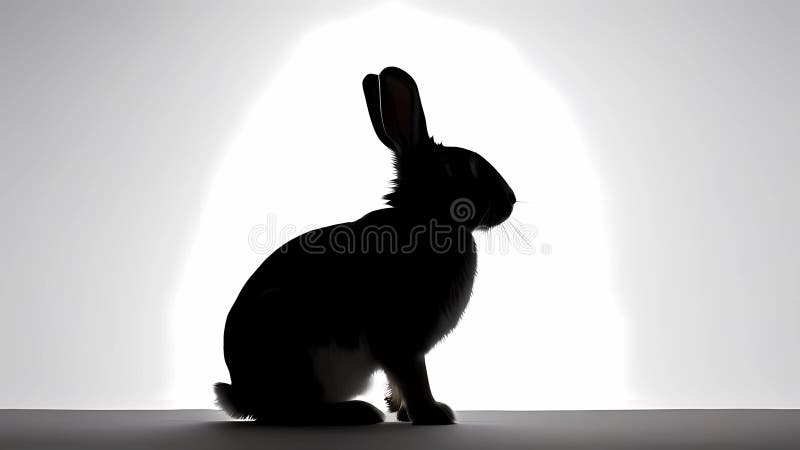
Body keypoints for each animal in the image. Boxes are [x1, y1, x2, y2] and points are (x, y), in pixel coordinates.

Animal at [214, 67, 516, 425]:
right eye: (457, 168)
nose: (511, 200)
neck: (425, 217)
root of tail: (243, 395)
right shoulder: (401, 340)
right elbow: (415, 378)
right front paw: (433, 414)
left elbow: (398, 381)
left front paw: (403, 413)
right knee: (292, 411)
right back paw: (358, 411)